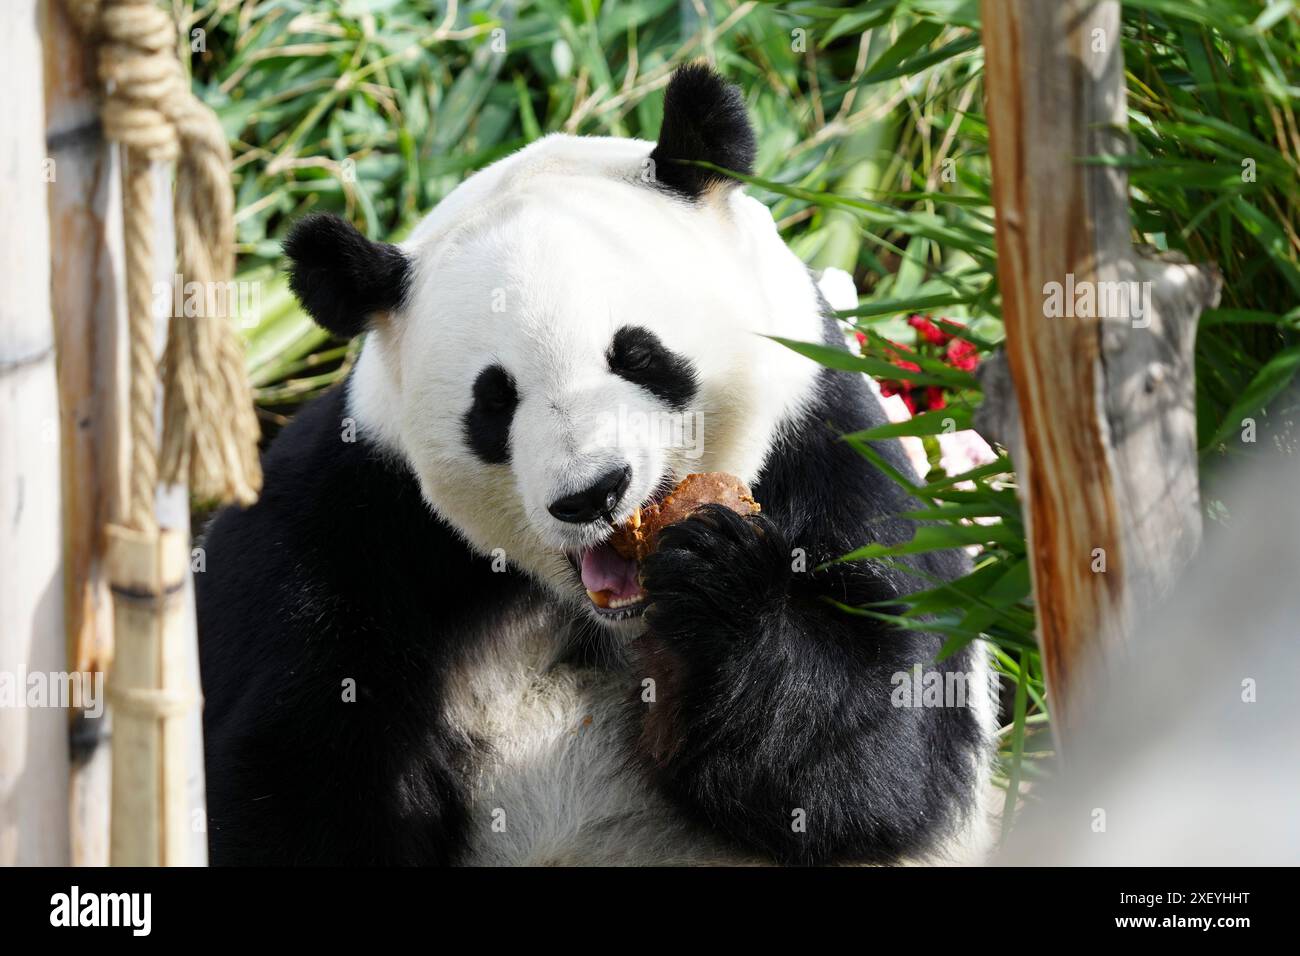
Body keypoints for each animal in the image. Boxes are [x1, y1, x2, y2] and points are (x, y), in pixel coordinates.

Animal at [197, 64, 997, 866]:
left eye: (638, 354)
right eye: (493, 401)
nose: (592, 494)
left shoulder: (827, 444)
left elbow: (879, 748)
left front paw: (719, 576)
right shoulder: (347, 521)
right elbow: (295, 772)